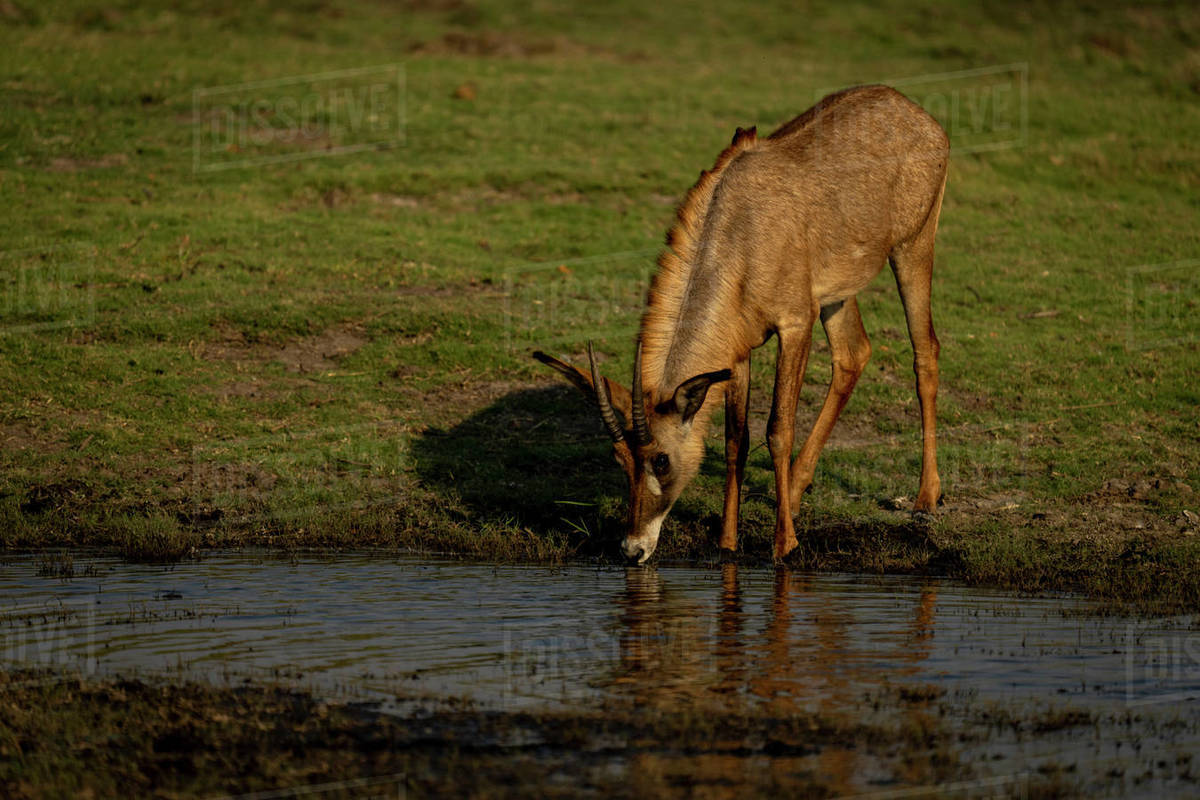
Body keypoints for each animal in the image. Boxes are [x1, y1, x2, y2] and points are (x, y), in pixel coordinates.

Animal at [535, 85, 948, 564]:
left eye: (661, 459)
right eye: (619, 458)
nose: (633, 548)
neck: (738, 232)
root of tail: (915, 112)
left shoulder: (795, 325)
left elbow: (778, 430)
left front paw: (784, 545)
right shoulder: (737, 350)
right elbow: (737, 439)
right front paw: (727, 543)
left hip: (914, 246)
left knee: (925, 352)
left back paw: (925, 498)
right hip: (838, 292)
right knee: (853, 353)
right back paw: (795, 490)